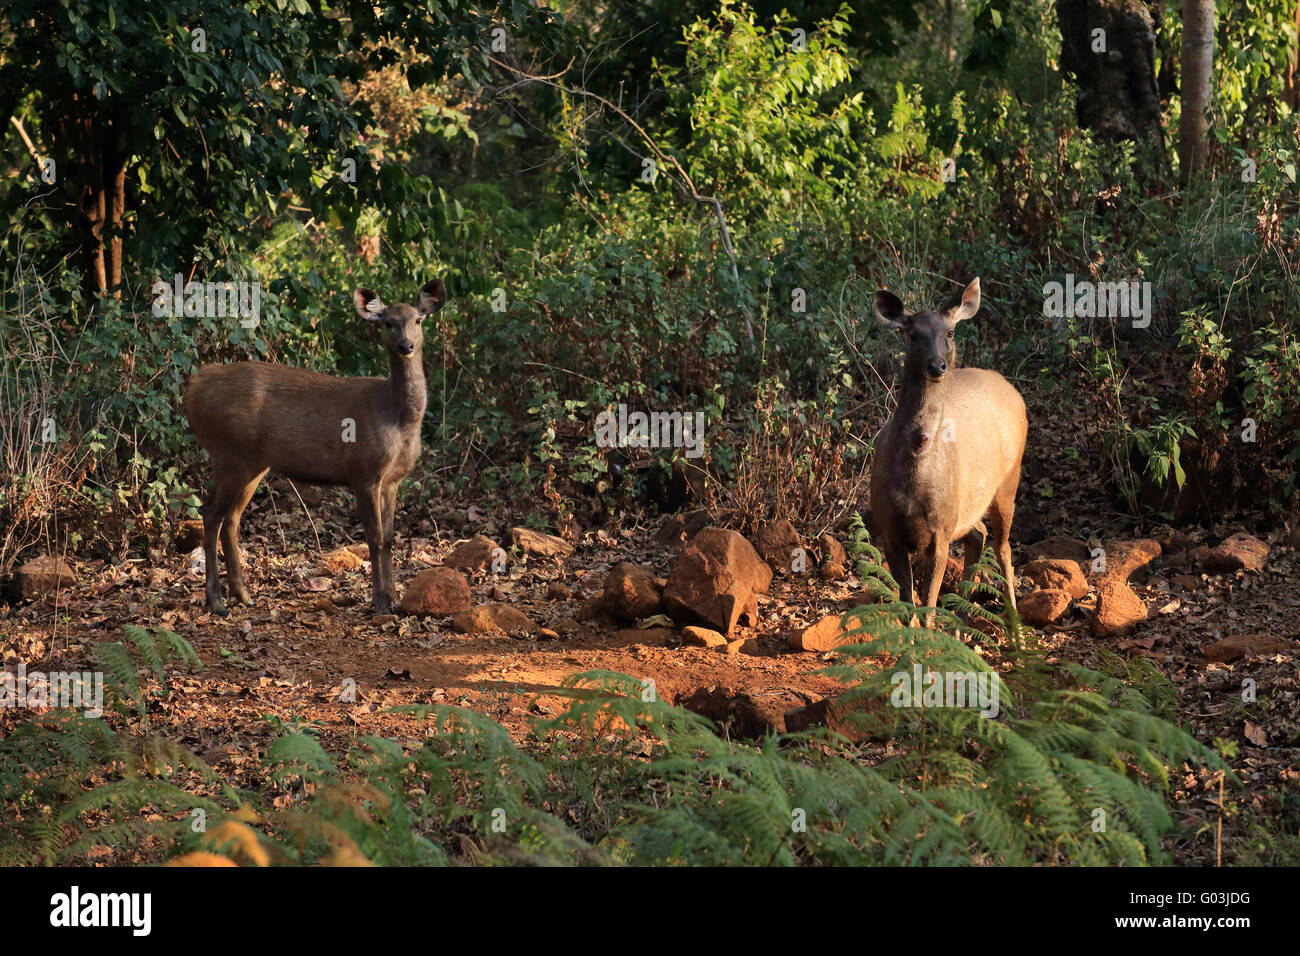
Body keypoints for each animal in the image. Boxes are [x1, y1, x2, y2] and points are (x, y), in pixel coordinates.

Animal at [183, 279, 447, 617]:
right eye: (388, 323)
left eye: (418, 320)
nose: (406, 346)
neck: (399, 420)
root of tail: (192, 392)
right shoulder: (364, 472)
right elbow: (374, 538)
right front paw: (380, 602)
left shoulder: (392, 479)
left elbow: (389, 538)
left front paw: (393, 598)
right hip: (230, 454)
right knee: (211, 514)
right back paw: (216, 600)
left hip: (253, 464)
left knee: (231, 518)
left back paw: (243, 594)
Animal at [869, 278, 1026, 626]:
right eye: (912, 334)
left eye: (950, 332)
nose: (937, 365)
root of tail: (1008, 386)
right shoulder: (888, 531)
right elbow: (909, 610)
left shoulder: (940, 531)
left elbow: (927, 609)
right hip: (967, 506)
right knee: (978, 533)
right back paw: (962, 625)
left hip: (1009, 480)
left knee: (1004, 548)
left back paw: (1016, 628)